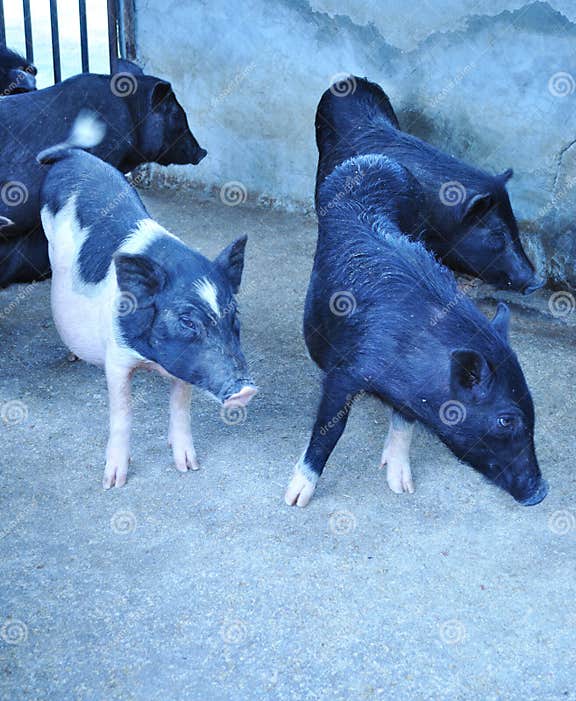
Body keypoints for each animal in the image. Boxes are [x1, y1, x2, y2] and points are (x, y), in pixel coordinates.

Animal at [37, 113, 255, 488]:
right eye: (187, 321)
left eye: (234, 318)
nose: (245, 390)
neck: (150, 358)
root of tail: (71, 155)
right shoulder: (116, 357)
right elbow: (122, 413)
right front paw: (113, 482)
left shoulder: (184, 363)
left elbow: (180, 407)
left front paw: (188, 467)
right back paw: (71, 356)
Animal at [285, 153, 547, 508]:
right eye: (506, 420)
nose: (541, 493)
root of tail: (373, 161)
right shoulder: (347, 369)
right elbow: (329, 428)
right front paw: (295, 499)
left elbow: (404, 420)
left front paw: (402, 487)